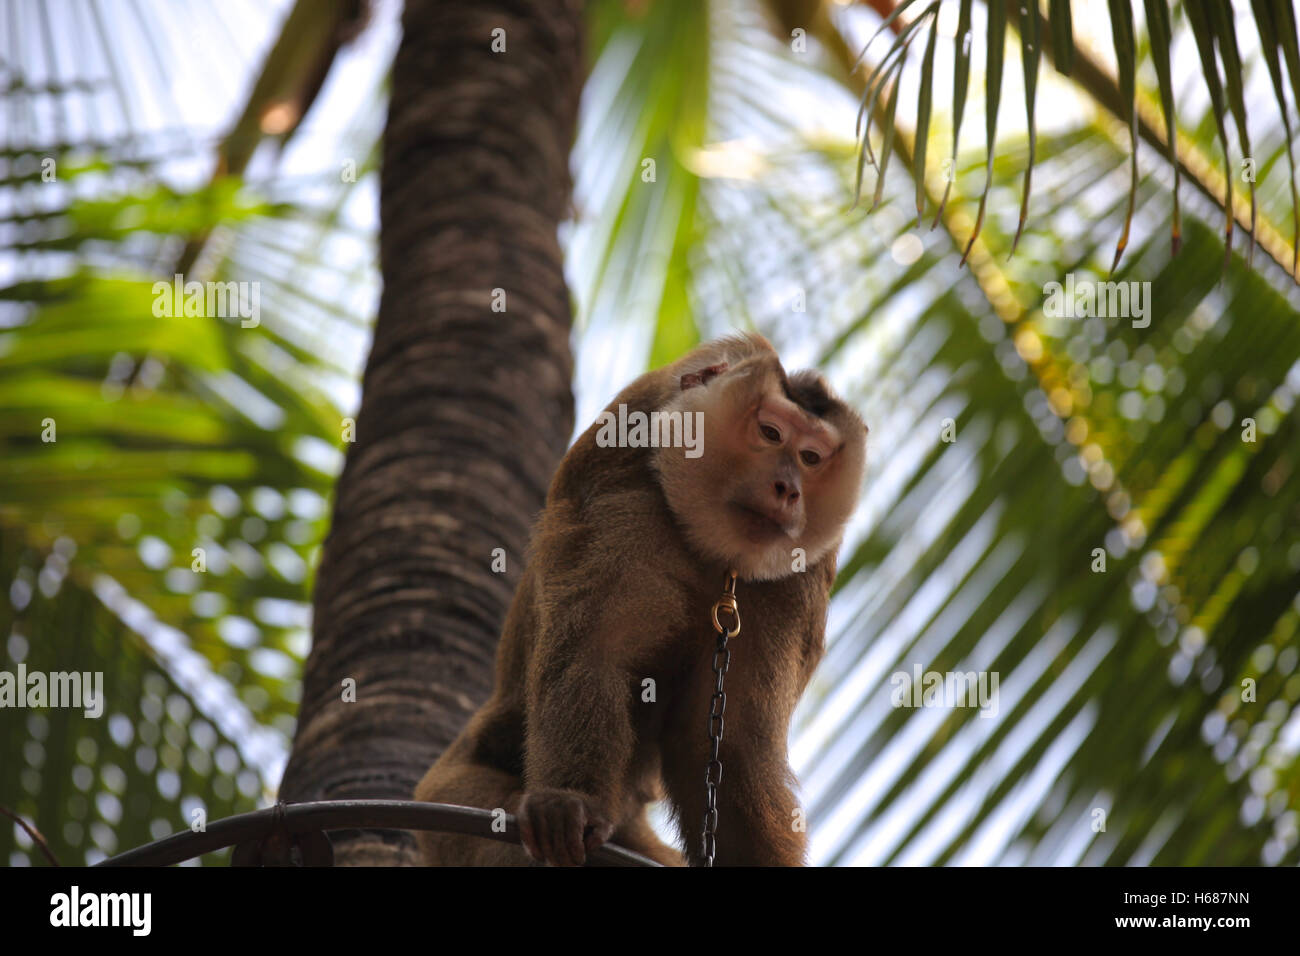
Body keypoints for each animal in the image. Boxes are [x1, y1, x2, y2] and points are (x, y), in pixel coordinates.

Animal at [413, 332, 867, 866]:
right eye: (771, 433)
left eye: (811, 458)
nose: (788, 490)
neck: (708, 551)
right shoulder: (622, 498)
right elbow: (596, 652)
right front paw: (568, 802)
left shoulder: (792, 583)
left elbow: (728, 745)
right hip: (453, 789)